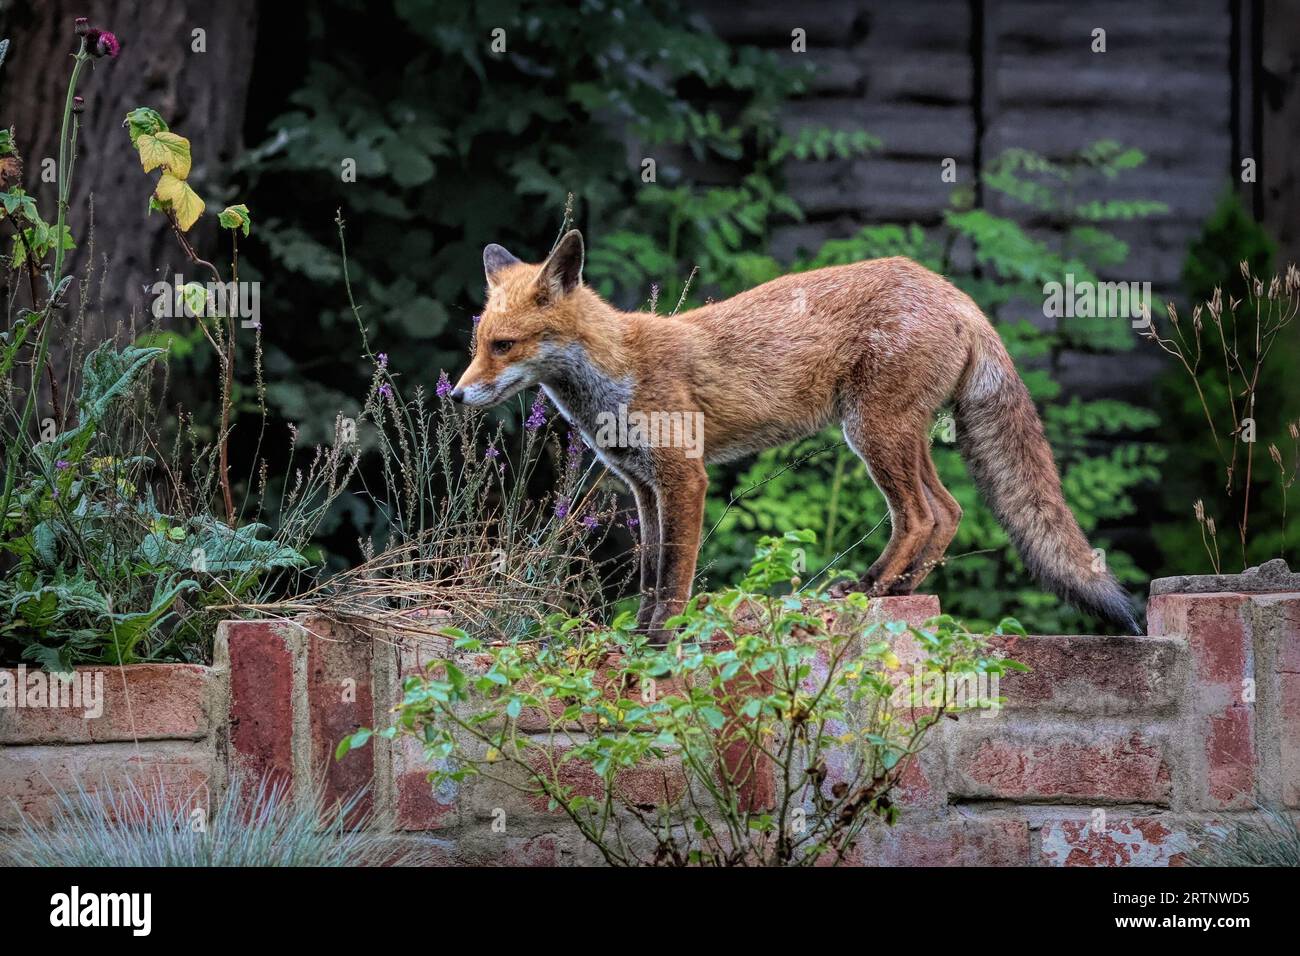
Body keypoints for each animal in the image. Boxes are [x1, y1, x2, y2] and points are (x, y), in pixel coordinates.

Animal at [452, 230, 1141, 641]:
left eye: (504, 345)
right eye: (477, 344)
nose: (454, 395)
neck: (618, 370)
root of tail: (955, 294)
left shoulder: (684, 477)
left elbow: (674, 574)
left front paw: (661, 638)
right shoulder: (644, 487)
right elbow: (649, 570)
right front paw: (636, 632)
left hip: (873, 433)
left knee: (919, 515)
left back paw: (869, 587)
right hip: (896, 436)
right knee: (948, 511)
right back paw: (901, 588)